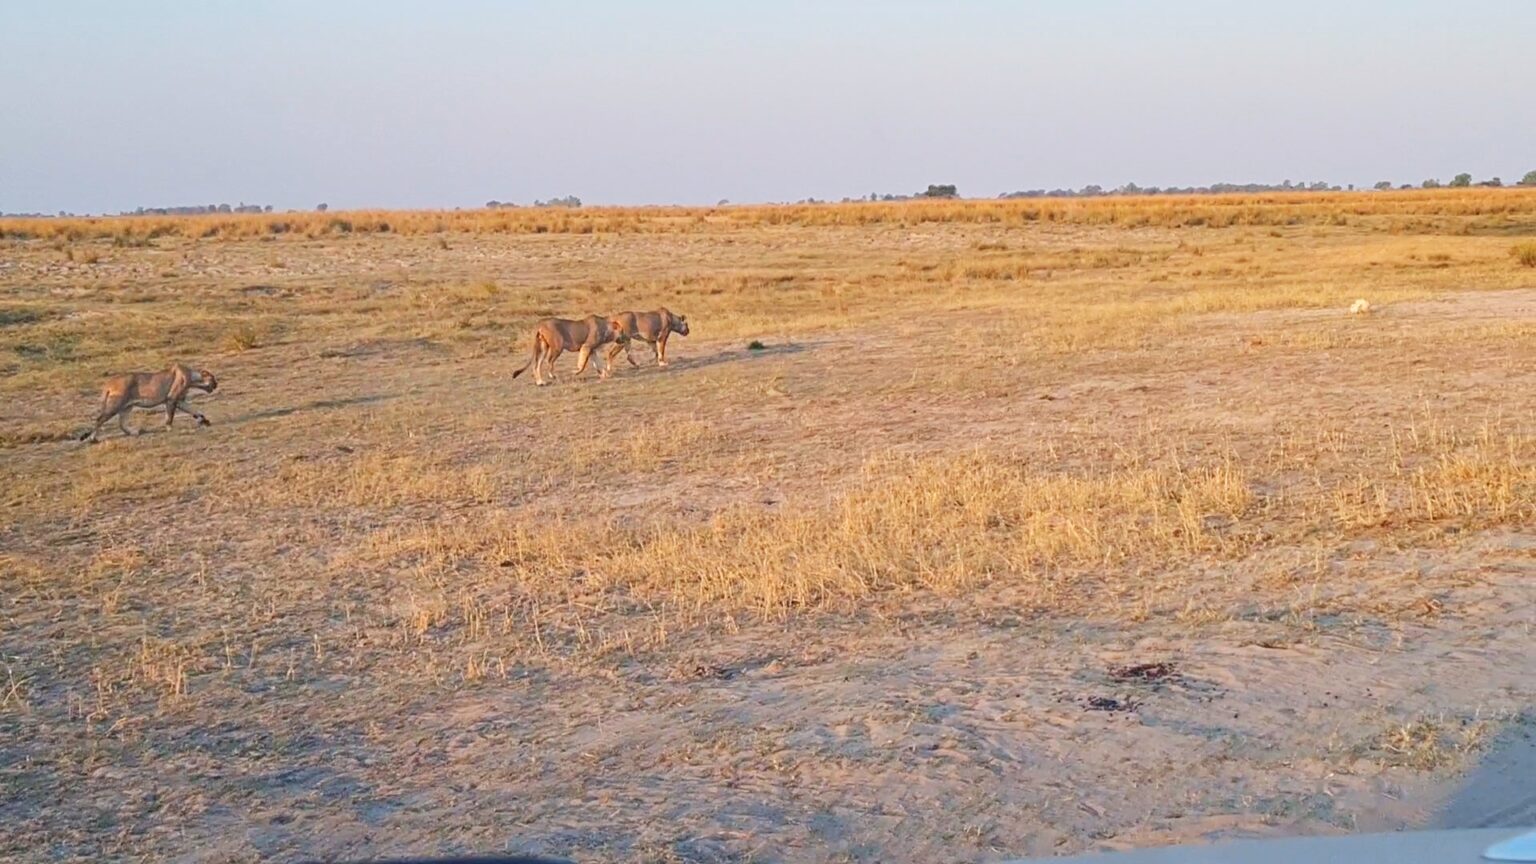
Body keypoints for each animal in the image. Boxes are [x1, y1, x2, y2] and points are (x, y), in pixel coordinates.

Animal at [85, 364, 218, 442]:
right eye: (213, 378)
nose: (217, 385)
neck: (192, 378)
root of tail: (109, 383)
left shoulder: (180, 401)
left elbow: (194, 410)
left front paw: (204, 421)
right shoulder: (171, 398)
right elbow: (170, 416)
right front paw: (169, 428)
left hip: (127, 407)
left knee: (121, 423)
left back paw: (133, 433)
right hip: (115, 405)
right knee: (99, 419)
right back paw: (93, 438)